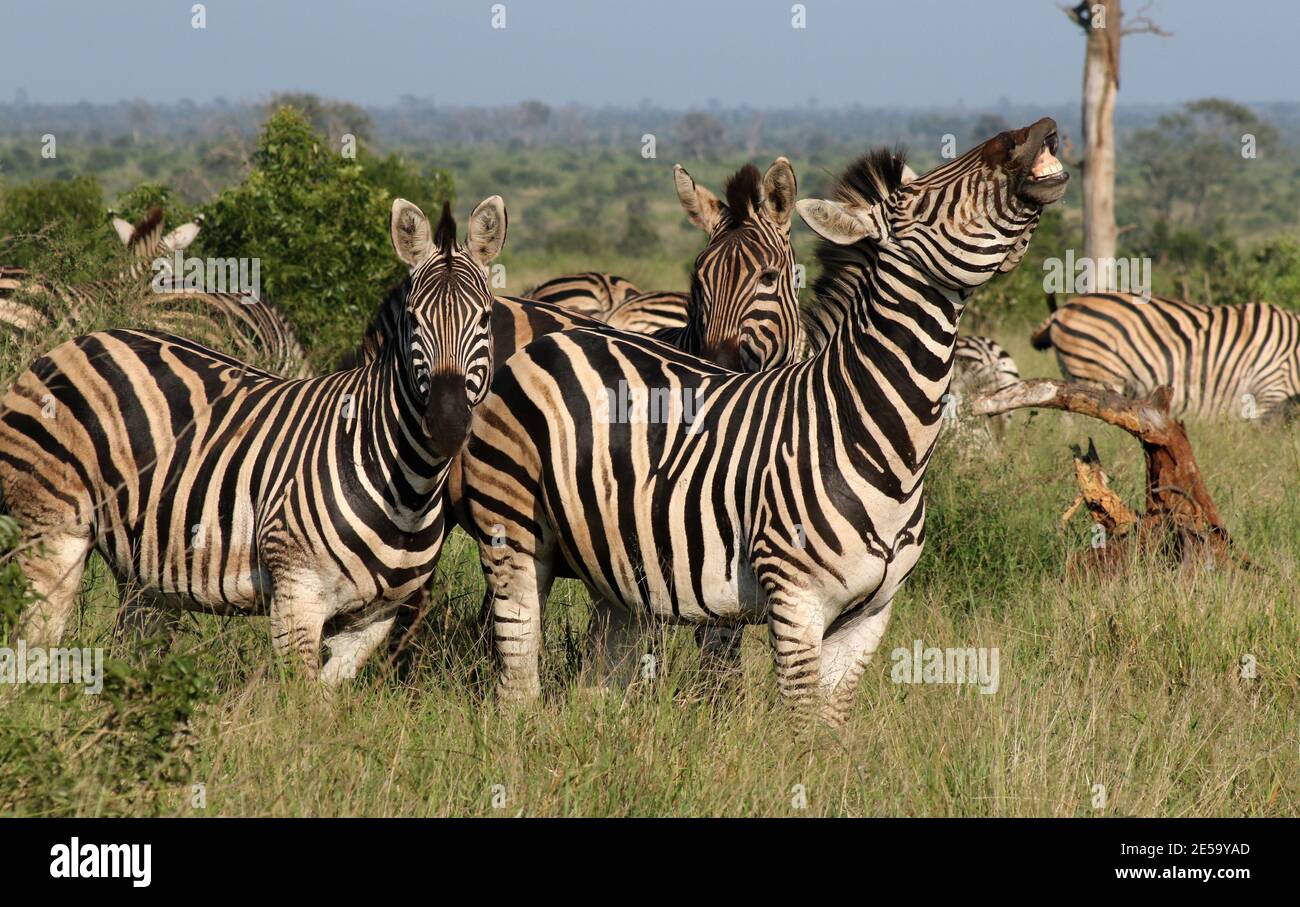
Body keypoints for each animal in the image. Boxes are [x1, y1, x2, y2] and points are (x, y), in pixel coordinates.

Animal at [453, 119, 1067, 722]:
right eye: (915, 201)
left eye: (771, 278)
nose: (1039, 129)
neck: (874, 435)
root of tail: (558, 335)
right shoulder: (794, 602)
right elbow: (795, 725)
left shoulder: (870, 616)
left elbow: (828, 728)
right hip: (512, 535)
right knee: (516, 677)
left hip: (617, 570)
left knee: (599, 684)